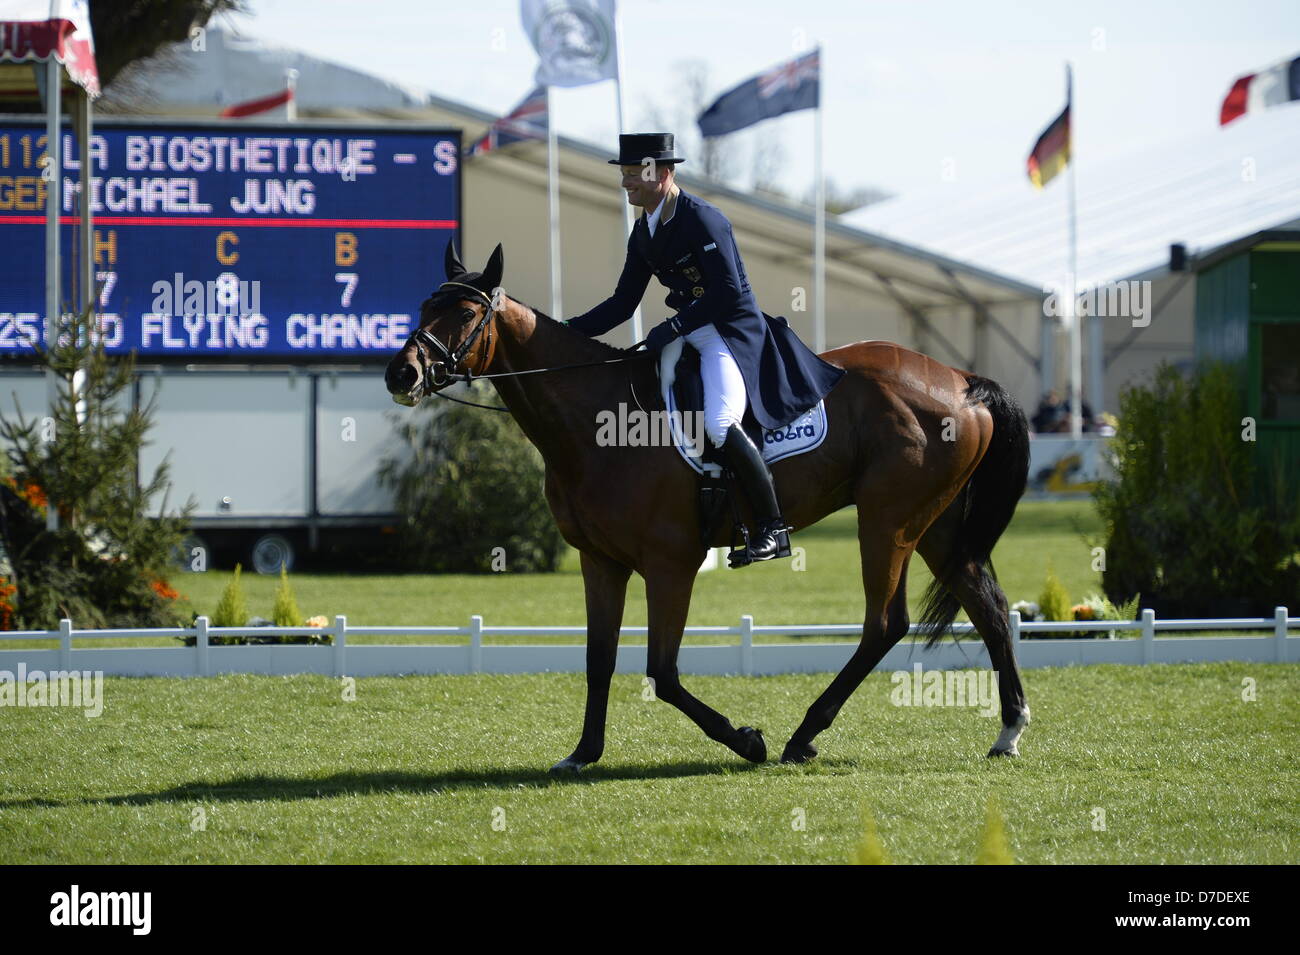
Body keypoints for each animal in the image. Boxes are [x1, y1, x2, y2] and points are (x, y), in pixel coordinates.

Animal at [385, 242, 1032, 770]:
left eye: (466, 314)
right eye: (422, 307)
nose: (402, 373)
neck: (595, 418)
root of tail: (962, 380)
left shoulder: (671, 562)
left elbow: (663, 672)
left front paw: (746, 740)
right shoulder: (601, 561)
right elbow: (599, 659)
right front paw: (583, 753)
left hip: (887, 521)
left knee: (885, 622)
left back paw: (802, 736)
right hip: (936, 525)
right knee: (990, 606)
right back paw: (1008, 732)